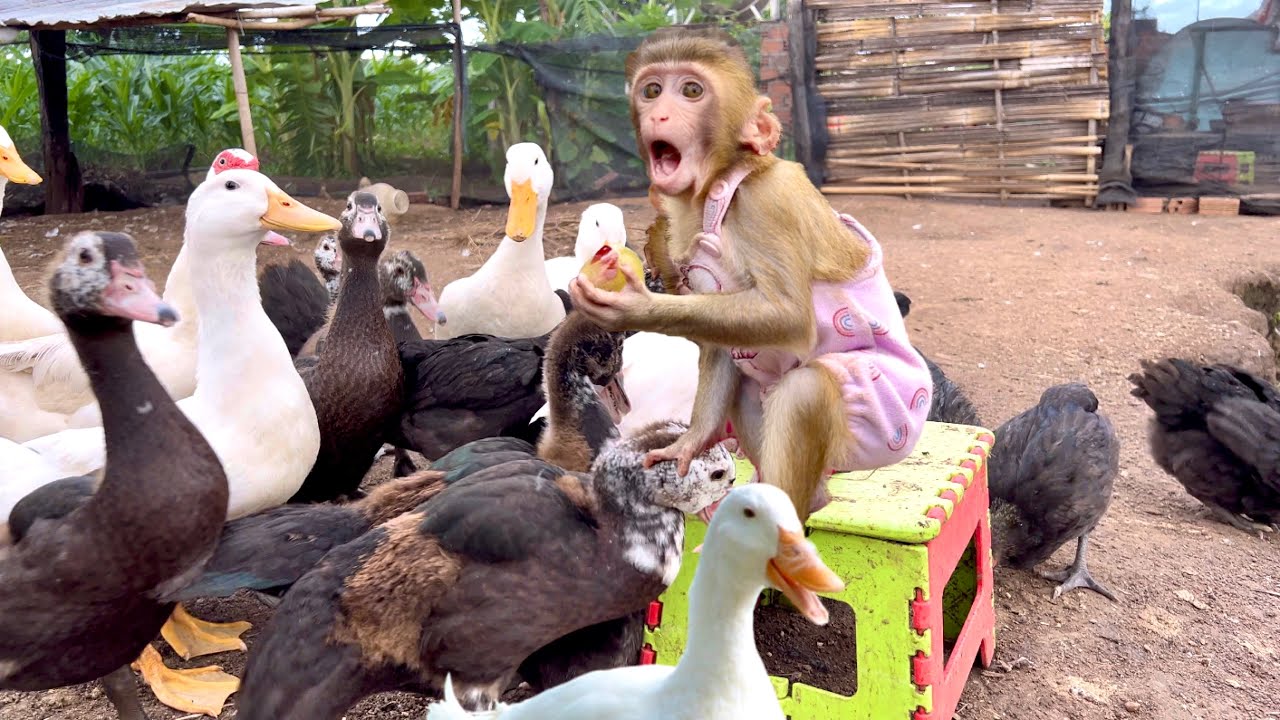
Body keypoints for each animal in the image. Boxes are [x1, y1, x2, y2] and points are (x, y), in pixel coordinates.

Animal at [568, 27, 932, 520]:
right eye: (651, 91)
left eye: (691, 91)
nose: (659, 112)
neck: (718, 186)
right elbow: (719, 343)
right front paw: (690, 442)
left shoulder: (770, 201)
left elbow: (788, 317)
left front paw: (638, 308)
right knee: (745, 374)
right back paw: (807, 498)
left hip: (890, 416)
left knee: (805, 392)